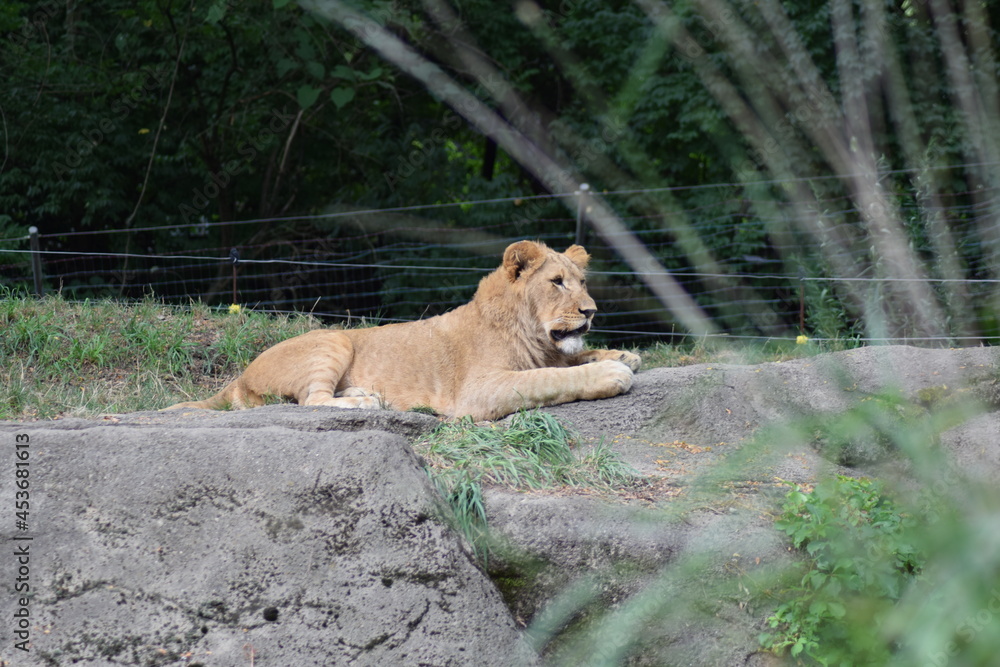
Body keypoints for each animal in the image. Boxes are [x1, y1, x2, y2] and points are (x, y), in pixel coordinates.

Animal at [165, 240, 641, 421]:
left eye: (582, 281)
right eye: (557, 282)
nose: (591, 311)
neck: (530, 331)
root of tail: (237, 377)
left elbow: (567, 358)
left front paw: (621, 354)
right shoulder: (476, 392)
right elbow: (549, 377)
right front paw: (610, 372)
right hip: (333, 338)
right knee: (311, 401)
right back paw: (366, 404)